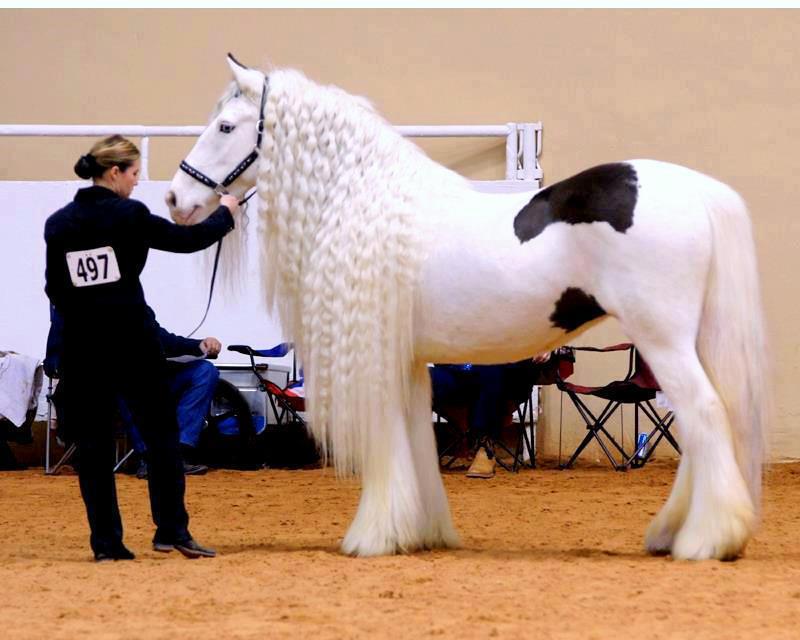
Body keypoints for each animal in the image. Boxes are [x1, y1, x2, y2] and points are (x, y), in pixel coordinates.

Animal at [166, 54, 770, 561]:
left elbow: (388, 442)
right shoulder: (410, 360)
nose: (174, 199)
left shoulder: (374, 355)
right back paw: (676, 532)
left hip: (663, 340)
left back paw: (706, 539)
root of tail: (698, 190)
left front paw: (371, 537)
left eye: (225, 127)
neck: (362, 197)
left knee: (706, 414)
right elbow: (414, 438)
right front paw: (419, 531)